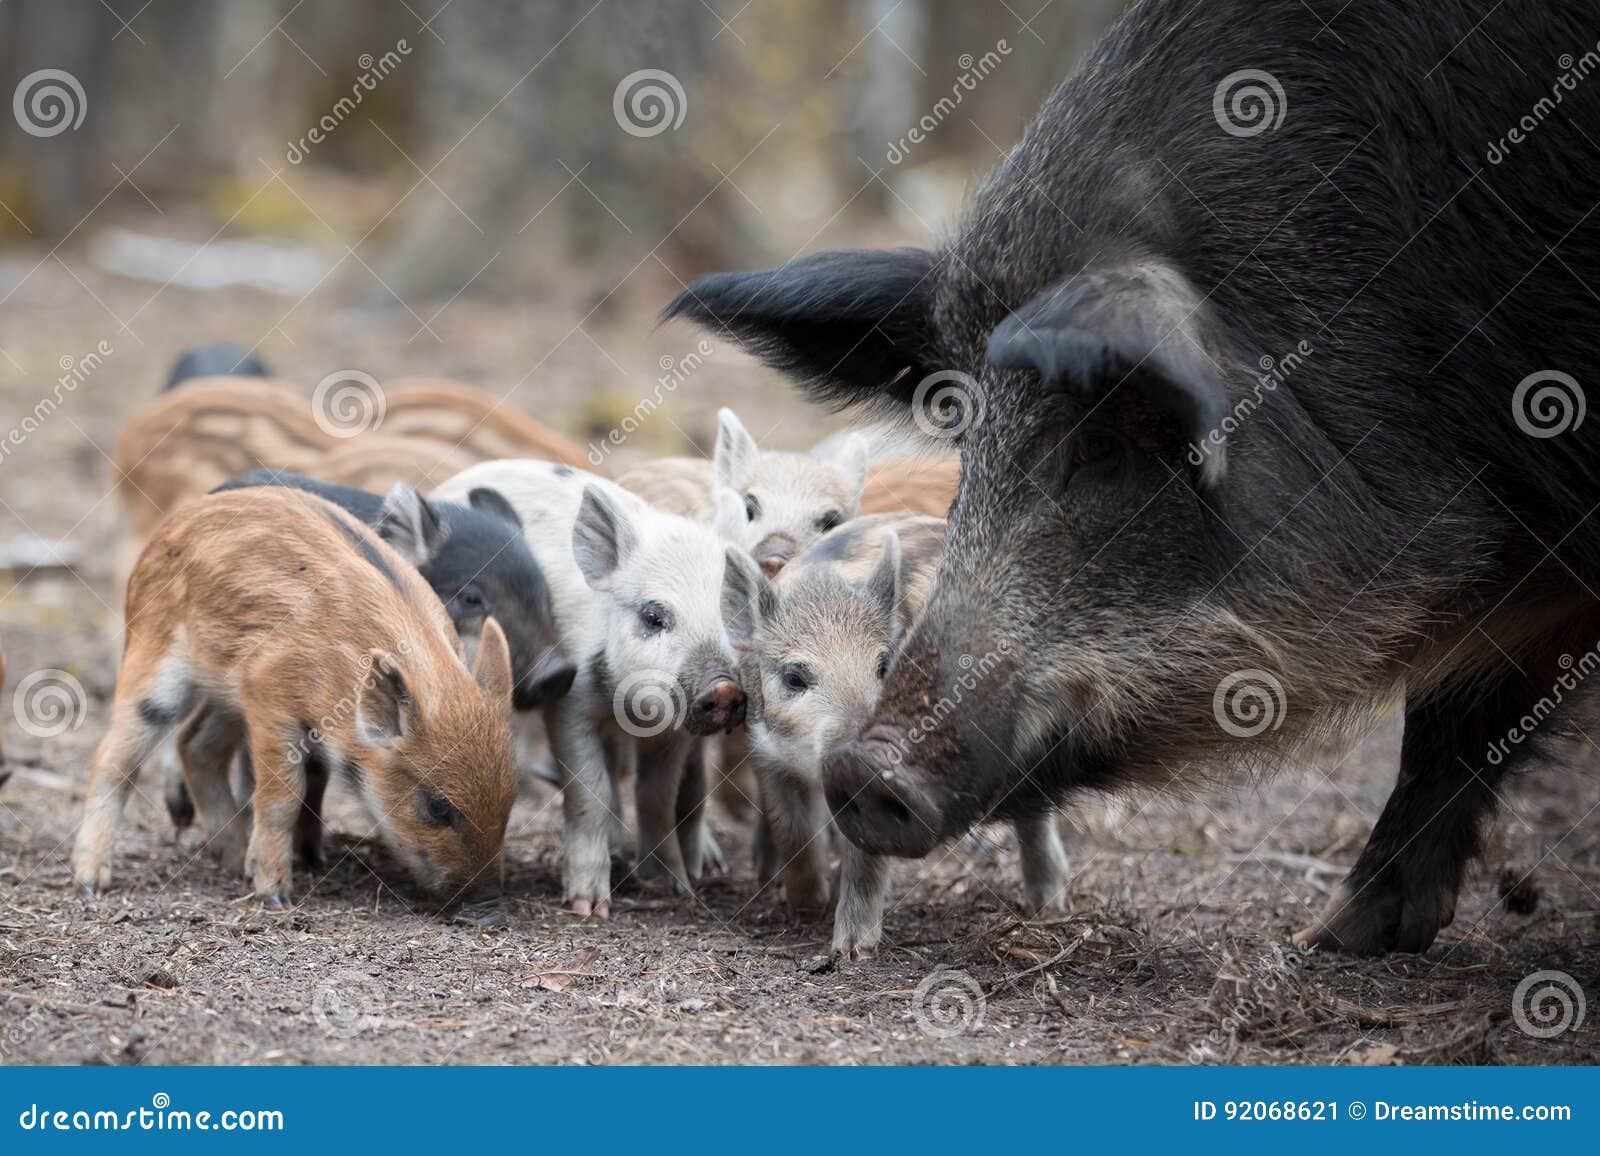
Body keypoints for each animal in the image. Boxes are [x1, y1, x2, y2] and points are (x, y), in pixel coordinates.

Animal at [72, 488, 516, 917]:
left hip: (226, 693)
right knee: (113, 759)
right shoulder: (271, 699)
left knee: (194, 744)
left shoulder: (255, 694)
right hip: (151, 662)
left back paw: (234, 862)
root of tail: (170, 527)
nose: (488, 908)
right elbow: (283, 796)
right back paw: (91, 883)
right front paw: (275, 896)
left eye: (510, 801)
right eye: (438, 807)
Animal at [432, 460, 763, 915]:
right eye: (654, 616)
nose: (724, 687)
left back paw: (708, 868)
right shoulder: (569, 703)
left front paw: (672, 887)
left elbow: (656, 793)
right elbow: (591, 791)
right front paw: (588, 907)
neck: (632, 710)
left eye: (733, 618)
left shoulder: (674, 733)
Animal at [747, 514, 1068, 957]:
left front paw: (851, 952)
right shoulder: (769, 756)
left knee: (1035, 812)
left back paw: (1048, 907)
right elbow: (792, 833)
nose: (852, 750)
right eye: (795, 677)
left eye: (884, 666)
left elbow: (867, 849)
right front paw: (806, 911)